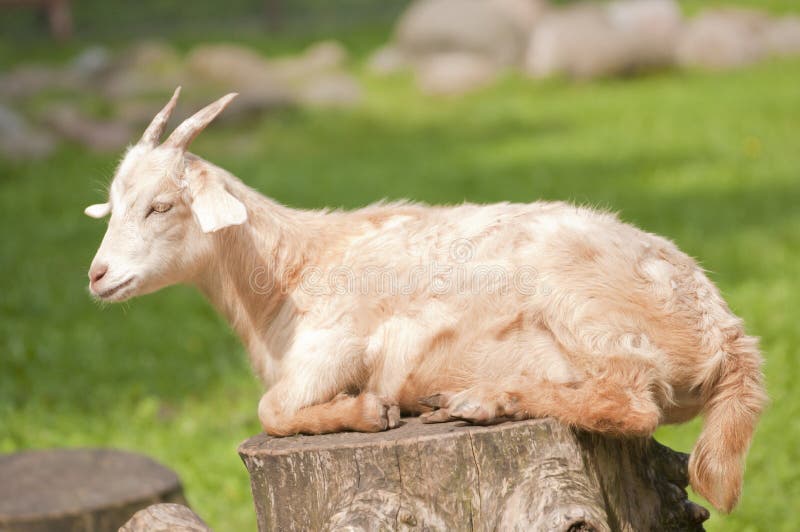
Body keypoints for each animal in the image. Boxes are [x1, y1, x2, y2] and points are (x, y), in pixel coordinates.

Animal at [85, 88, 765, 514]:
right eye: (113, 204)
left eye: (162, 206)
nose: (97, 276)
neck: (293, 271)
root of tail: (727, 333)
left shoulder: (339, 343)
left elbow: (272, 409)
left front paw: (368, 412)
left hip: (586, 312)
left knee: (629, 404)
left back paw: (479, 400)